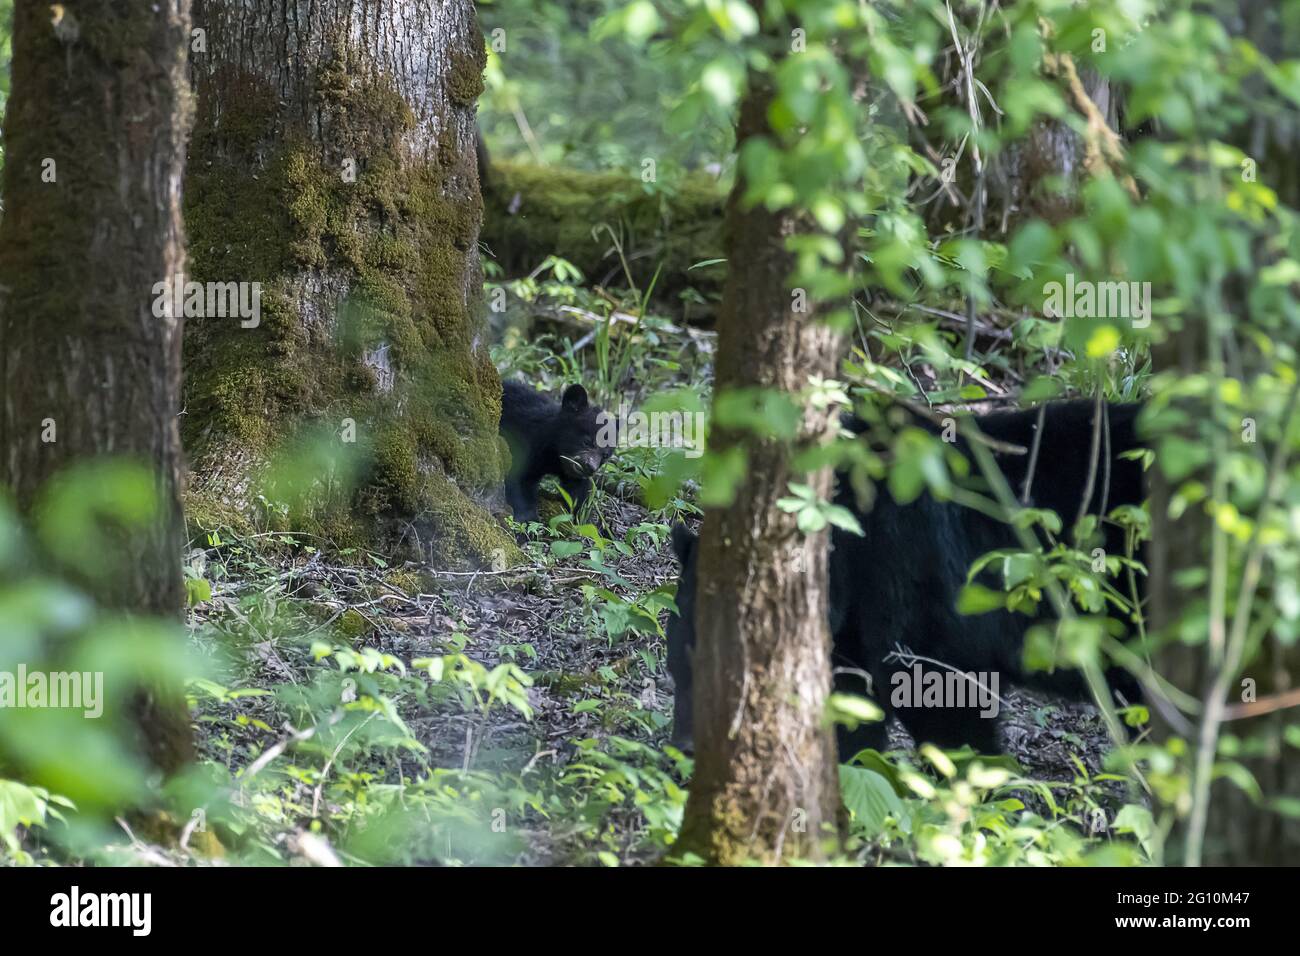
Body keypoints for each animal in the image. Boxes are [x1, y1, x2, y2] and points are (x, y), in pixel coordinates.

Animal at [499, 379, 615, 529]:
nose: (590, 467)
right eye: (587, 442)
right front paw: (527, 518)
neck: (554, 456)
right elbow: (518, 478)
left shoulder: (572, 473)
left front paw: (584, 521)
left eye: (605, 455)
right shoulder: (526, 443)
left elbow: (578, 492)